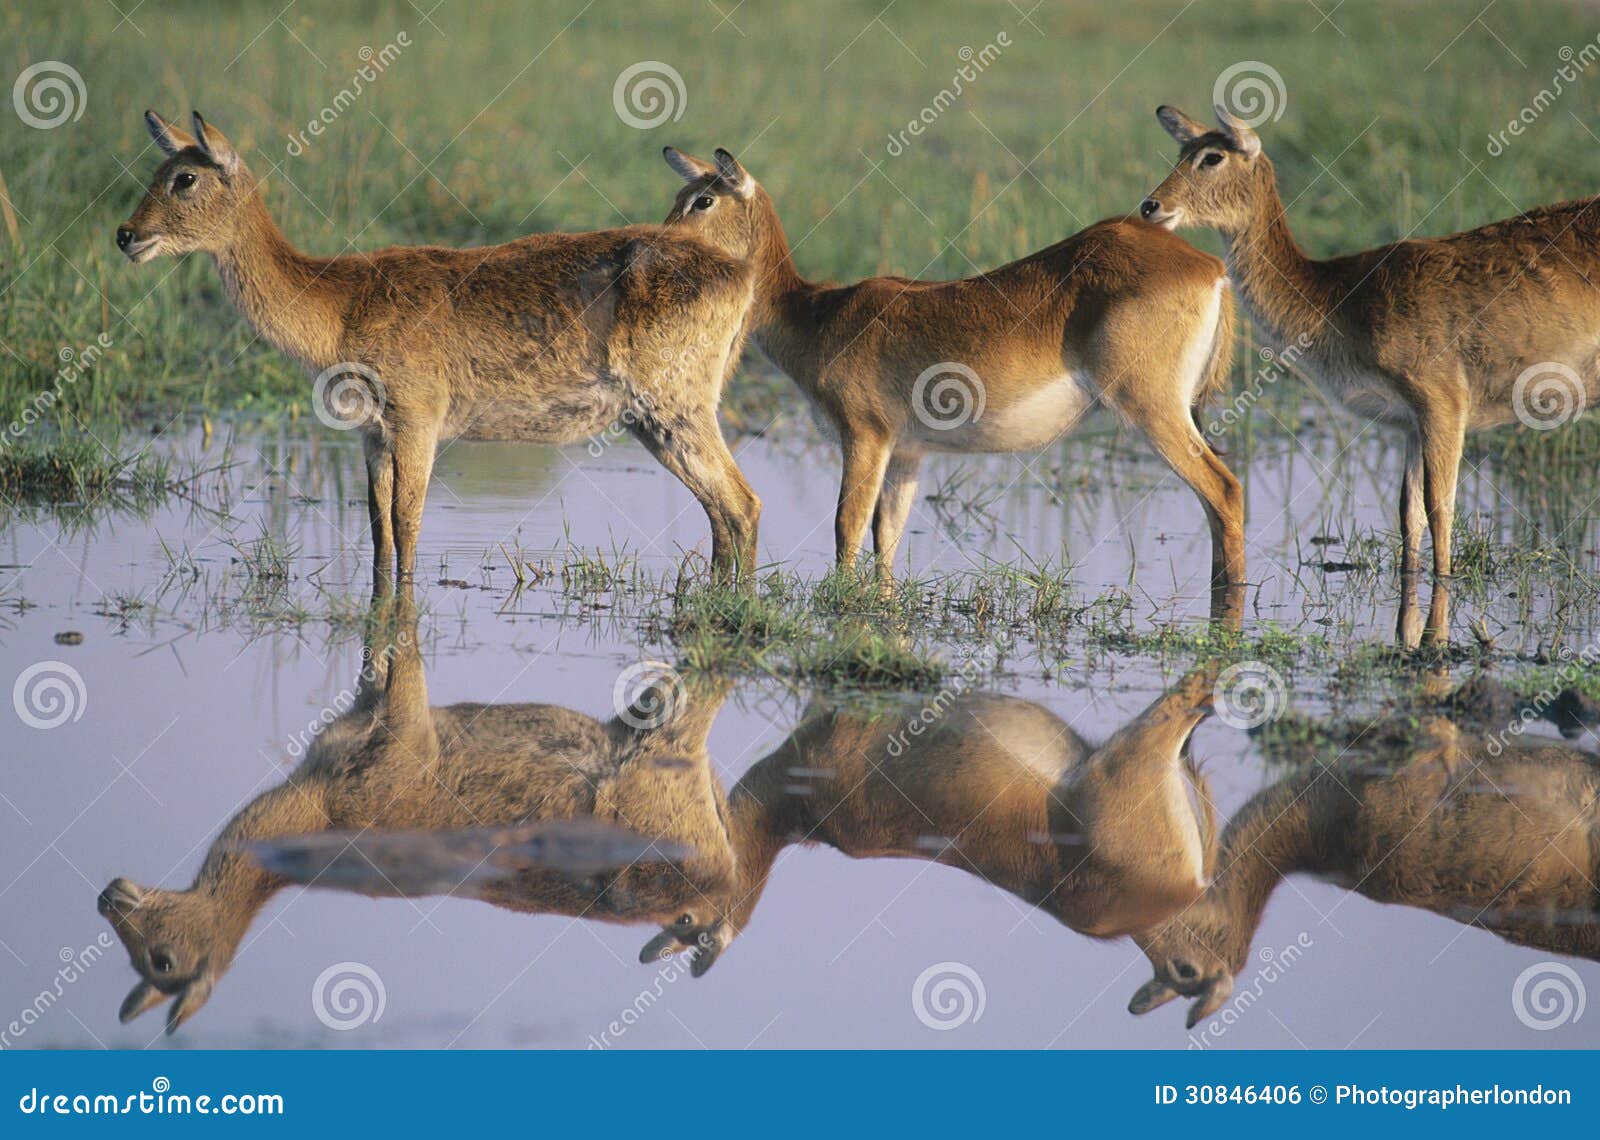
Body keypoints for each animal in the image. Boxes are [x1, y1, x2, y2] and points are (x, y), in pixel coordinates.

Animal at [118, 112, 761, 586]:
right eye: (158, 168)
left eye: (185, 178)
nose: (126, 235)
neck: (342, 303)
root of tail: (743, 273)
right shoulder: (372, 434)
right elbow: (378, 528)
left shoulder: (419, 423)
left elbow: (407, 524)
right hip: (651, 422)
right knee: (722, 511)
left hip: (678, 407)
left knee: (743, 502)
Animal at [659, 147, 1244, 618]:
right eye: (681, 194)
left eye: (703, 201)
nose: (657, 243)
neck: (817, 315)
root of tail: (1212, 269)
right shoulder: (907, 452)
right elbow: (886, 536)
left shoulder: (865, 435)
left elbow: (847, 524)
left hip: (1153, 409)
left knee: (1224, 489)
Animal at [1143, 105, 1600, 648]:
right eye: (1182, 150)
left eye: (1212, 157)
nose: (1151, 206)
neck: (1340, 296)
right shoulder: (1409, 424)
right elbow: (1410, 513)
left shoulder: (1444, 404)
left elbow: (1441, 506)